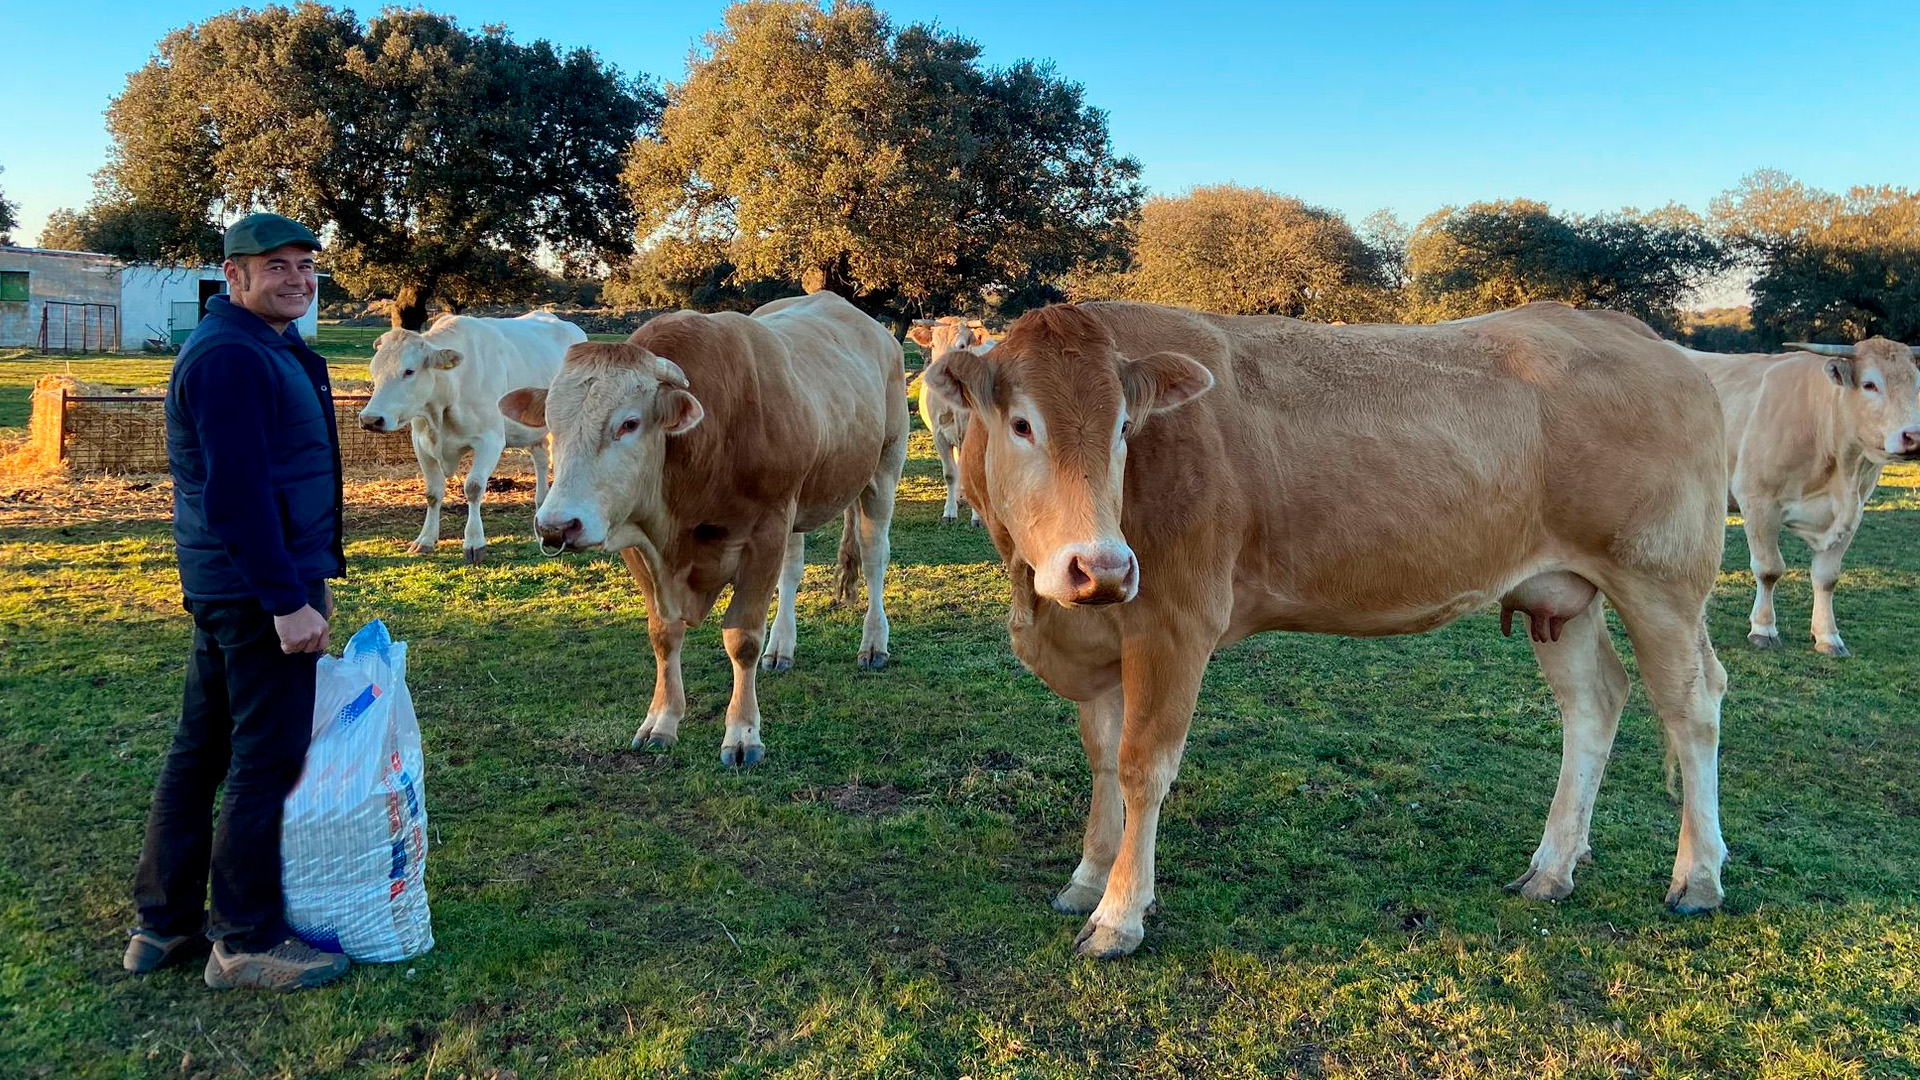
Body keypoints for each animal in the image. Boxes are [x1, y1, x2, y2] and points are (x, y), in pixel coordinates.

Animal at [359, 311, 587, 563]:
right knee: (541, 459)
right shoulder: (421, 442)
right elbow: (433, 493)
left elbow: (474, 488)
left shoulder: (490, 440)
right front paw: (426, 539)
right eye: (374, 370)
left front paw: (474, 542)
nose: (370, 419)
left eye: (409, 371)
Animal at [498, 291, 909, 768]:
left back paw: (874, 643)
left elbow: (742, 638)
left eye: (629, 423)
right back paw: (781, 647)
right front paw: (661, 720)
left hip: (883, 468)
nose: (557, 525)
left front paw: (743, 734)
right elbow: (663, 635)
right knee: (792, 570)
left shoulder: (765, 532)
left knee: (875, 555)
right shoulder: (637, 540)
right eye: (551, 423)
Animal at [926, 300, 1731, 958]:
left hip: (1660, 580)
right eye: (1022, 424)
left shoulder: (1174, 620)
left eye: (1126, 426)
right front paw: (1088, 877)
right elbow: (1100, 760)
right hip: (1562, 596)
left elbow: (1141, 767)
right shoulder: (1098, 639)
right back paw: (1553, 867)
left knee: (1692, 707)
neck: (1043, 600)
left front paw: (1119, 914)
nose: (1103, 567)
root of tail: (1635, 334)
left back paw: (1698, 877)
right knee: (1593, 704)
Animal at [1682, 337, 1920, 657]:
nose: (1914, 436)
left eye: (1916, 384)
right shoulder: (1759, 501)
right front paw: (1764, 629)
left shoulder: (1854, 513)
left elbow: (1827, 577)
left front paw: (1828, 636)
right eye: (1870, 384)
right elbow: (1769, 569)